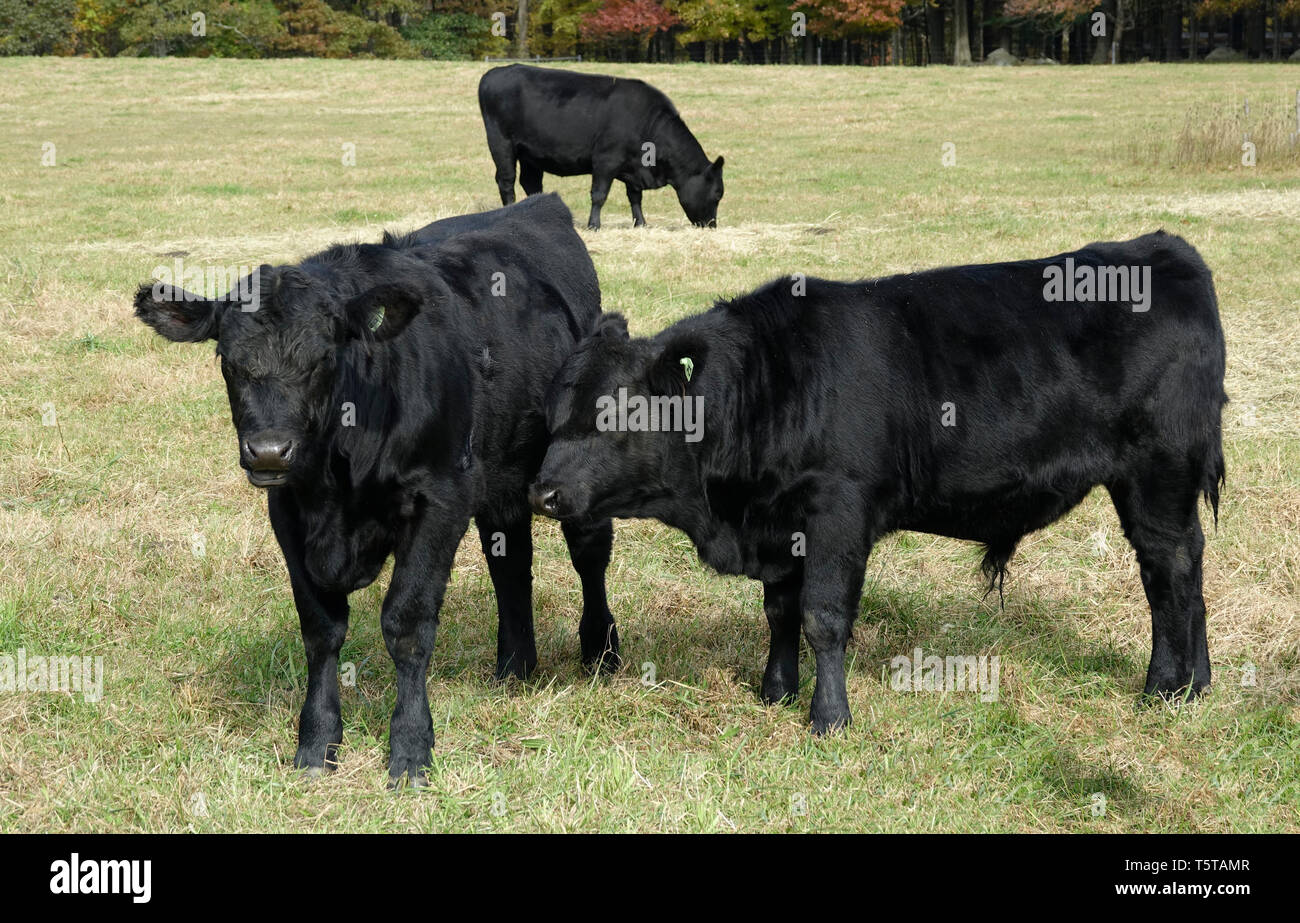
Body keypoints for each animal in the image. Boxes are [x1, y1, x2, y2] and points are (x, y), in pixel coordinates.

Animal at [134, 194, 621, 786]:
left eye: (323, 358)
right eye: (229, 360)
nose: (270, 451)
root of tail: (539, 205)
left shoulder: (440, 497)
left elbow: (406, 622)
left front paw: (411, 749)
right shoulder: (288, 513)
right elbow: (321, 628)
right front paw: (316, 743)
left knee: (589, 553)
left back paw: (600, 654)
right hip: (498, 474)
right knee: (510, 560)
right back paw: (514, 667)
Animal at [478, 64, 725, 230]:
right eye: (717, 194)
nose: (711, 225)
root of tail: (496, 71)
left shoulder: (634, 166)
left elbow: (635, 197)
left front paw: (641, 223)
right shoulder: (606, 160)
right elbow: (599, 194)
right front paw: (594, 225)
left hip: (531, 153)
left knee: (530, 183)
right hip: (501, 143)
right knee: (506, 181)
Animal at [530, 231, 1226, 734]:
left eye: (613, 415)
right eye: (555, 415)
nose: (542, 494)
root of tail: (1164, 248)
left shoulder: (837, 511)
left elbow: (823, 616)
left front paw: (829, 718)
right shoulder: (783, 526)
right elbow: (780, 611)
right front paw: (775, 692)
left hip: (1157, 473)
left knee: (1166, 568)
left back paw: (1163, 688)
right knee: (1187, 562)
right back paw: (1198, 683)